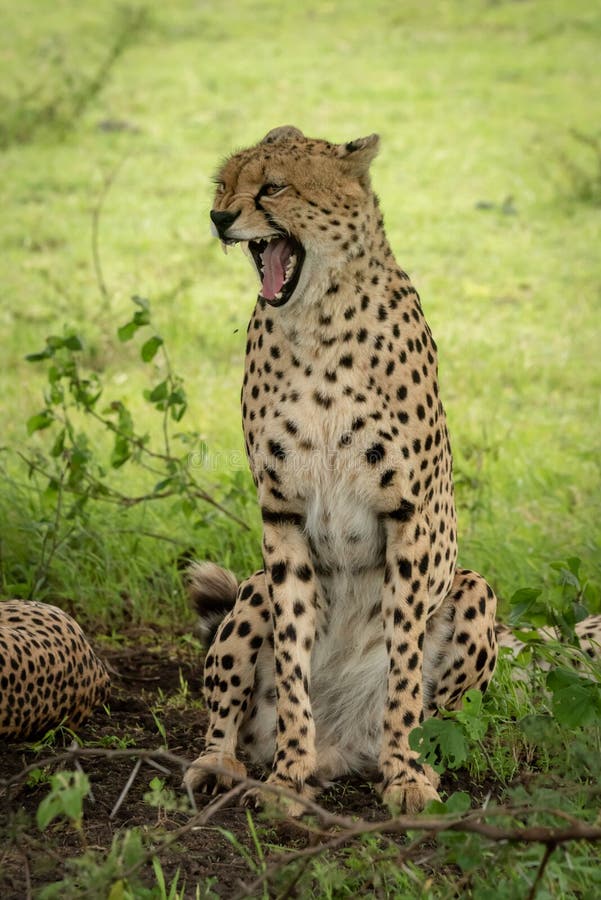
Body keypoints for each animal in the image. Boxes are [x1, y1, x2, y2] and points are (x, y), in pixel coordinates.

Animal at [181, 125, 598, 815]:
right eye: (223, 184)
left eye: (273, 187)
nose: (218, 218)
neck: (315, 323)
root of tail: (343, 746)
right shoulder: (281, 514)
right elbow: (292, 660)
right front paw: (287, 778)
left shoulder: (407, 515)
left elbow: (403, 661)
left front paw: (404, 775)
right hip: (253, 589)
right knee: (226, 713)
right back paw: (224, 764)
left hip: (474, 590)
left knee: (450, 714)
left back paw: (408, 757)